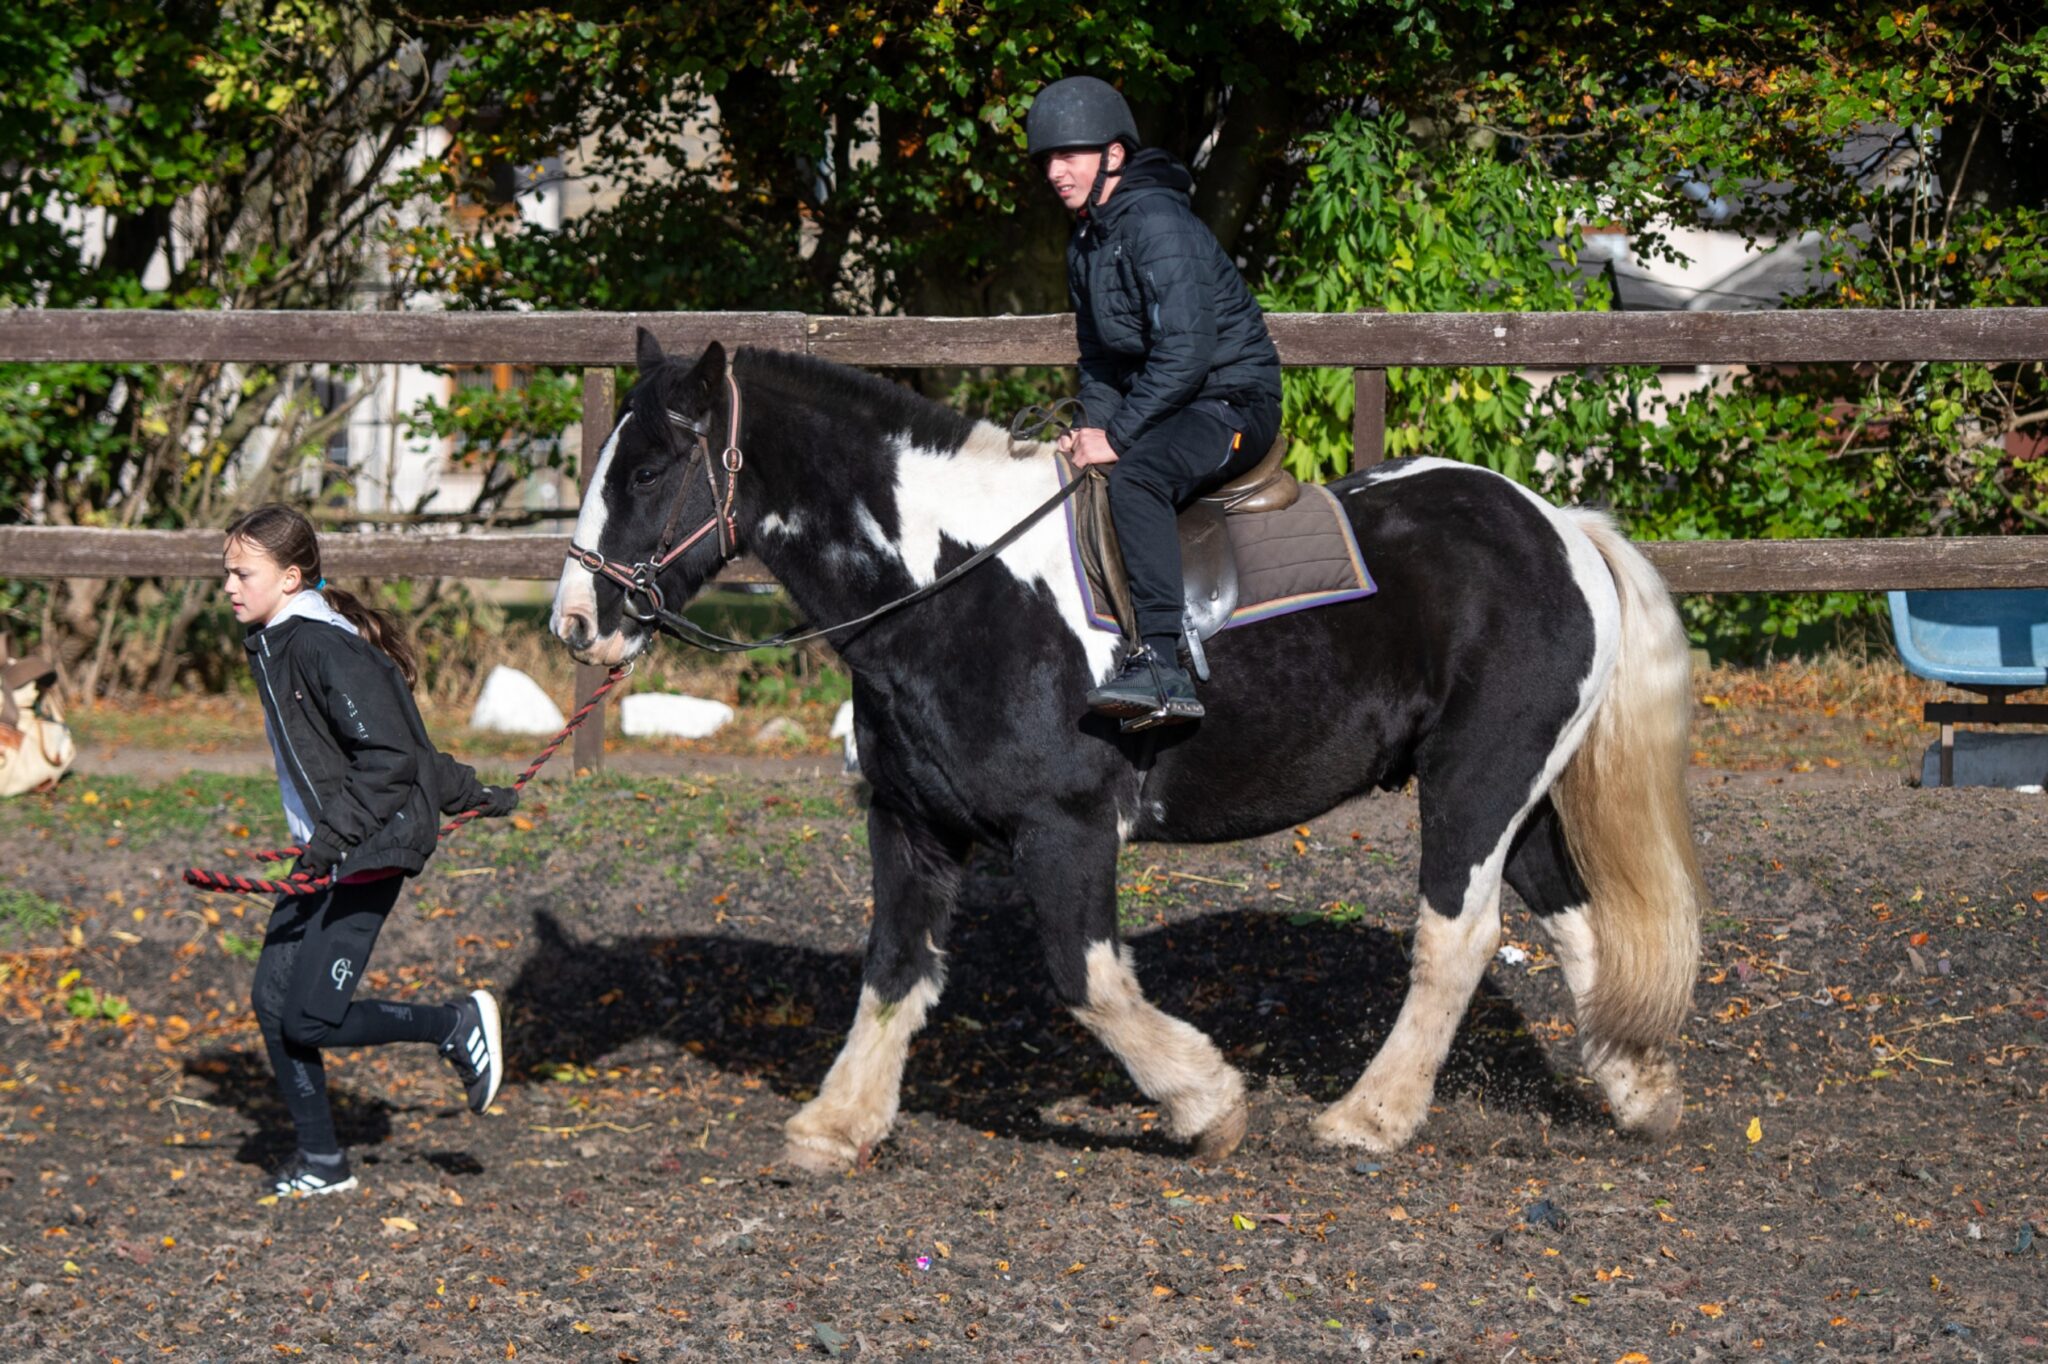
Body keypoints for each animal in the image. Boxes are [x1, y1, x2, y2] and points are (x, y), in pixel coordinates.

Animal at [550, 329, 1704, 1174]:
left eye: (648, 468)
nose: (574, 622)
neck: (954, 585)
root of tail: (1556, 524)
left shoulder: (1062, 828)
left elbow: (1086, 978)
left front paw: (1208, 1102)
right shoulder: (911, 824)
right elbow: (893, 970)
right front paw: (837, 1124)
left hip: (1474, 782)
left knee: (1458, 938)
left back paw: (1368, 1116)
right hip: (1521, 789)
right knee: (1574, 919)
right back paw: (1636, 1089)